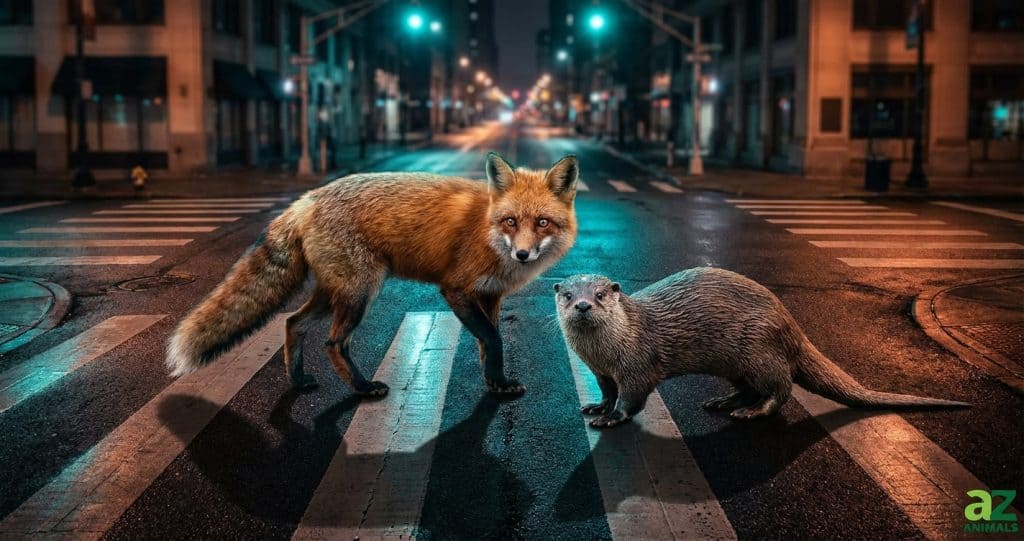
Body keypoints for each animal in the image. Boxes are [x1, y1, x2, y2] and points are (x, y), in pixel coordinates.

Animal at [166, 152, 580, 396]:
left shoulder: (490, 296)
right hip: (360, 293)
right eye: (511, 221)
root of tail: (307, 199)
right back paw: (363, 389)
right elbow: (492, 340)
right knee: (333, 343)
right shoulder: (456, 290)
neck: (487, 231)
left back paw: (297, 380)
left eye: (542, 222)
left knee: (292, 322)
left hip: (335, 293)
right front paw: (496, 380)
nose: (522, 254)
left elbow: (489, 344)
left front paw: (496, 382)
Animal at [555, 268, 970, 428]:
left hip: (759, 350)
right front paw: (597, 407)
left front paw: (611, 418)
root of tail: (792, 326)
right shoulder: (602, 372)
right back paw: (723, 401)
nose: (583, 305)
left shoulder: (636, 366)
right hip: (737, 362)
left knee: (780, 388)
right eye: (568, 294)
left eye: (600, 294)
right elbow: (608, 392)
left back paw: (751, 412)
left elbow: (632, 399)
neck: (607, 351)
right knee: (748, 387)